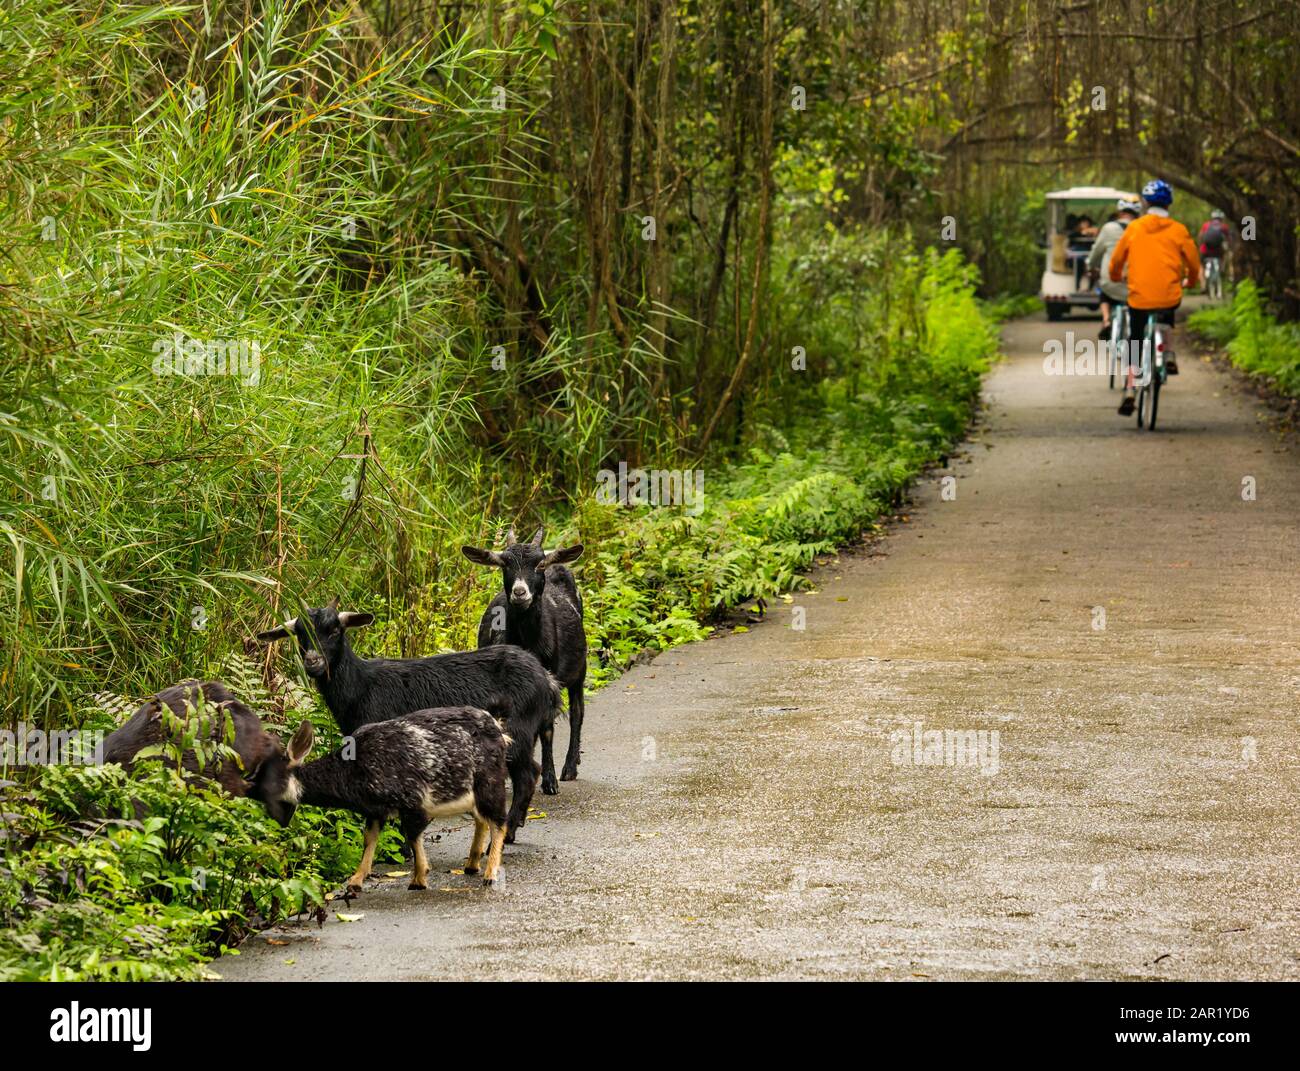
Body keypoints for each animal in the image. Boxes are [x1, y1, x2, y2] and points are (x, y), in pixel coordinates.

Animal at [244, 707, 510, 889]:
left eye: (265, 775)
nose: (245, 785)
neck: (353, 769)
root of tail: (499, 730)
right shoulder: (373, 810)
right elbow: (369, 839)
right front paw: (356, 879)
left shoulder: (412, 802)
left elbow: (412, 836)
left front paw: (418, 878)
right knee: (482, 819)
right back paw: (472, 864)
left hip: (489, 782)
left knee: (498, 821)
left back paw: (490, 874)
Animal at [256, 599, 560, 843]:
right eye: (299, 635)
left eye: (334, 631)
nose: (313, 662)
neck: (361, 686)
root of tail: (546, 679)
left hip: (517, 730)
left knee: (527, 774)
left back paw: (506, 834)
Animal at [462, 526, 586, 790]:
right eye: (504, 564)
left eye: (538, 564)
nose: (520, 592)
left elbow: (547, 728)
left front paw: (549, 780)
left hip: (579, 671)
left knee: (577, 713)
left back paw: (570, 767)